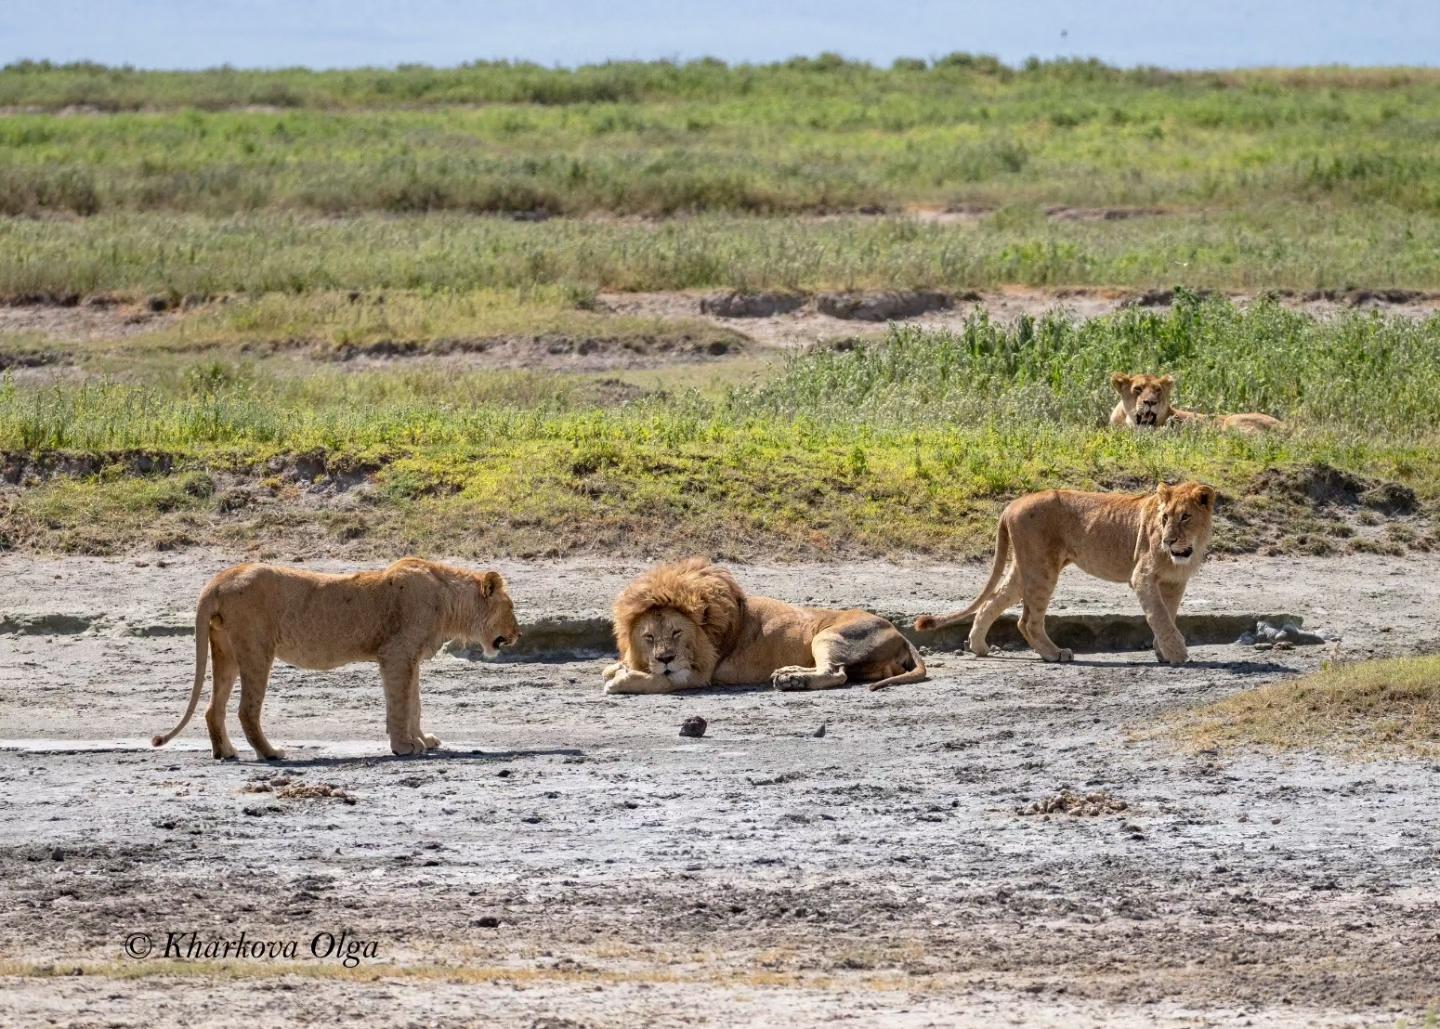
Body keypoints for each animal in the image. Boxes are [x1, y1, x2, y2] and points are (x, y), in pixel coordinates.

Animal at [149, 558, 521, 759]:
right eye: (511, 607)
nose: (518, 635)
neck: (448, 601)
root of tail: (217, 580)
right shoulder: (396, 654)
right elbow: (401, 704)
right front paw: (404, 746)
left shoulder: (410, 658)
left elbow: (414, 703)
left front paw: (423, 741)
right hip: (256, 649)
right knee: (245, 710)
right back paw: (271, 753)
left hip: (225, 649)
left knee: (214, 708)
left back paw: (225, 752)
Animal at [601, 558, 927, 696]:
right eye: (649, 637)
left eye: (677, 633)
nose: (665, 658)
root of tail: (900, 633)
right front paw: (618, 668)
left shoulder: (701, 674)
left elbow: (662, 681)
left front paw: (623, 681)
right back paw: (789, 674)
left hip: (828, 635)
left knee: (836, 674)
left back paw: (793, 681)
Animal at [910, 486, 1215, 667]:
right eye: (1164, 518)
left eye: (1185, 516)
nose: (1167, 539)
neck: (1185, 551)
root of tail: (1011, 505)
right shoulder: (1142, 576)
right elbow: (1159, 616)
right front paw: (1177, 654)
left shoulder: (1175, 582)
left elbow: (1168, 615)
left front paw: (1163, 651)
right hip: (1042, 568)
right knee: (1027, 621)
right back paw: (1054, 653)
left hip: (1027, 568)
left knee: (992, 601)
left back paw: (978, 647)